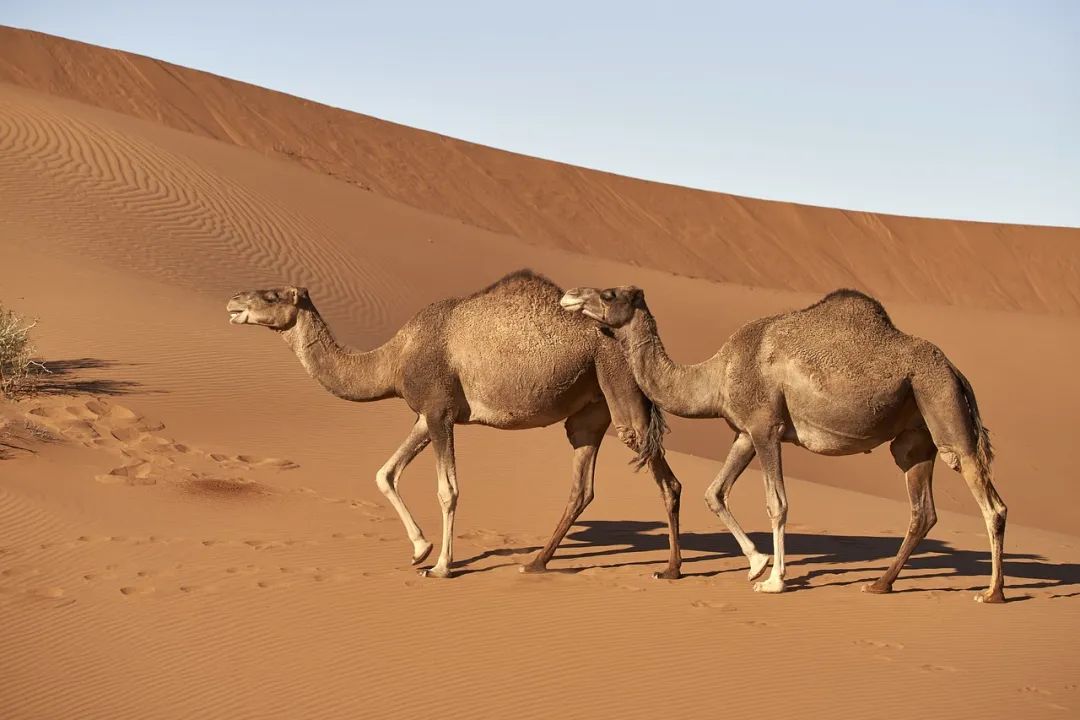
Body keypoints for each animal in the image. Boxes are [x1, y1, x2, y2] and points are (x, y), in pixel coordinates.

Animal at [226, 270, 684, 579]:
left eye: (271, 294)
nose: (234, 302)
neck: (393, 358)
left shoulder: (440, 412)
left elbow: (448, 490)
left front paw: (442, 566)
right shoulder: (425, 413)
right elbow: (384, 473)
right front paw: (419, 549)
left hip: (620, 389)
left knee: (665, 478)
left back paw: (672, 569)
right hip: (592, 407)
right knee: (582, 486)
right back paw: (536, 562)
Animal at [560, 285, 1007, 602]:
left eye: (608, 294)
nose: (569, 295)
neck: (716, 374)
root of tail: (956, 372)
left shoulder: (765, 427)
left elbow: (777, 503)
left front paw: (774, 580)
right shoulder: (743, 433)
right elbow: (713, 493)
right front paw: (757, 563)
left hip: (942, 405)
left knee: (991, 503)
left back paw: (992, 593)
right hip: (916, 434)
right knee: (922, 509)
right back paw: (880, 584)